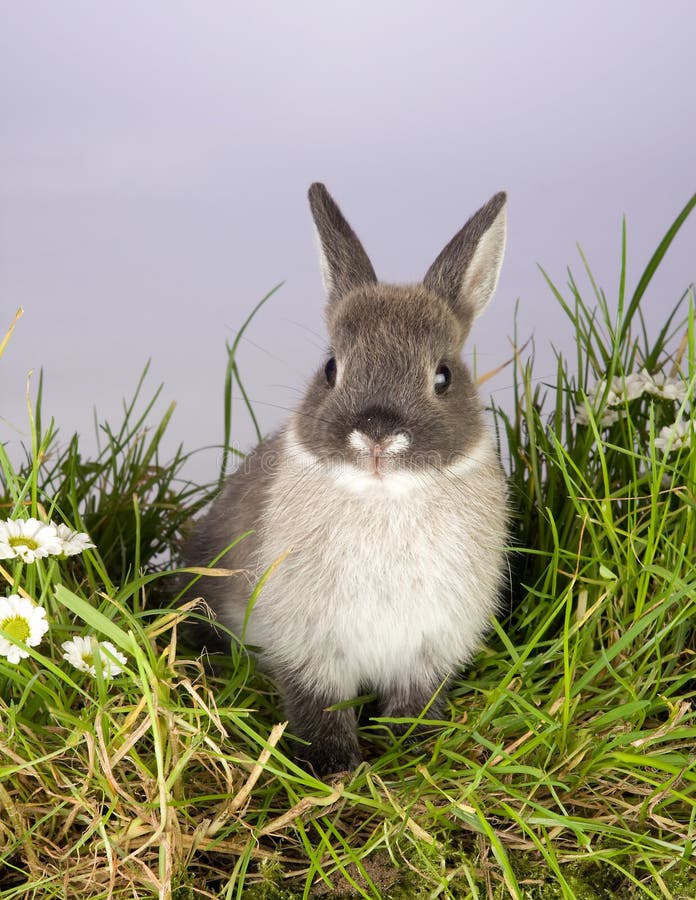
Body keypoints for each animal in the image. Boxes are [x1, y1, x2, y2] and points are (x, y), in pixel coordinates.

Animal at [181, 183, 509, 778]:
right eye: (332, 368)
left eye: (443, 376)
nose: (377, 437)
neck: (384, 496)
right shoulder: (308, 649)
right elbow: (319, 710)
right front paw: (334, 769)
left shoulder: (429, 652)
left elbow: (413, 706)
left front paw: (407, 755)